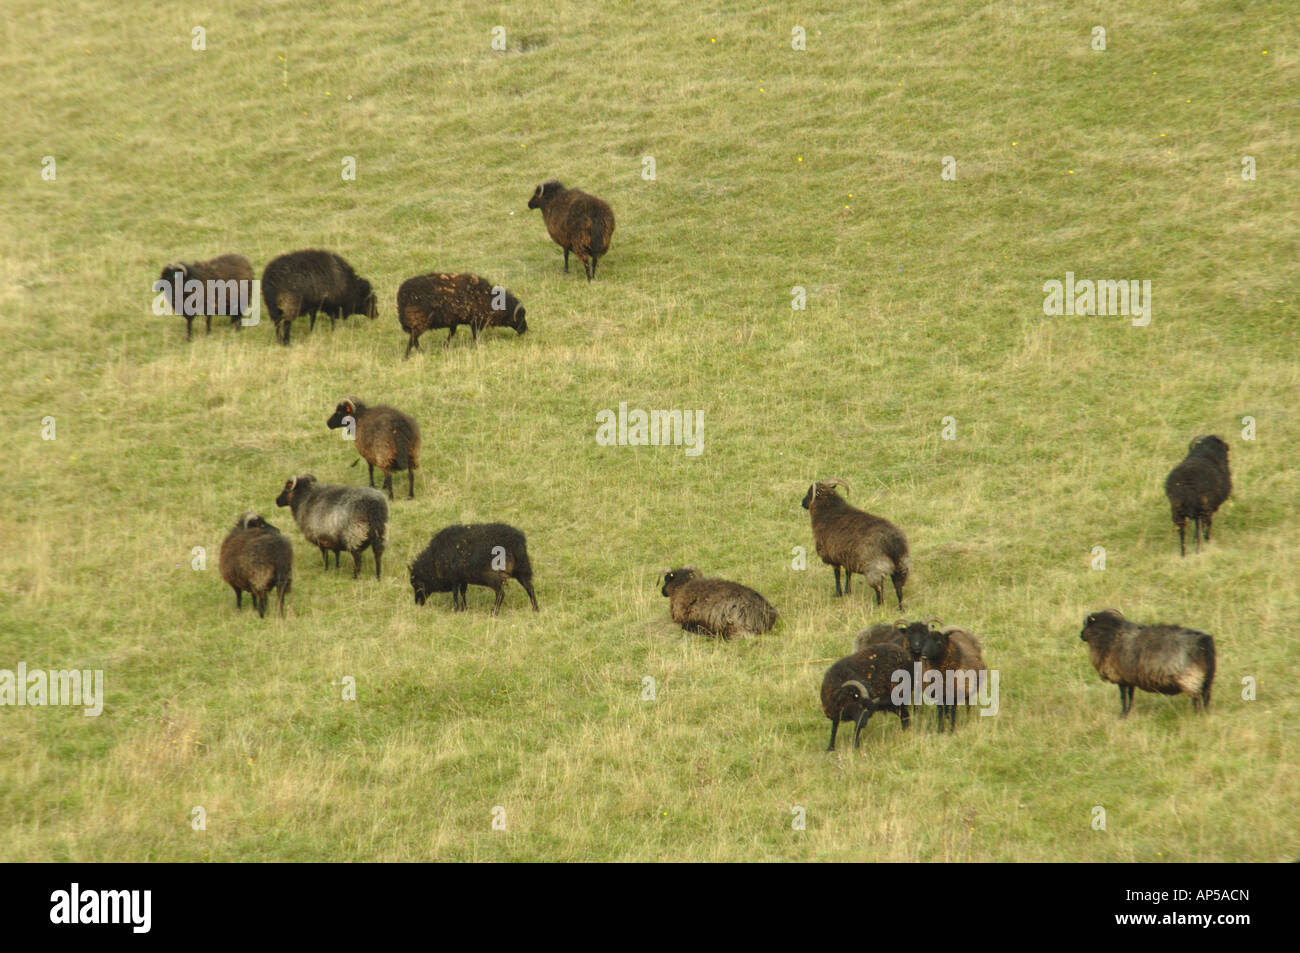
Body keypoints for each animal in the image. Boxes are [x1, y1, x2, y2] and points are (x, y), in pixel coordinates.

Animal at [396, 273, 527, 357]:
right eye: (520, 316)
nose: (524, 330)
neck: (489, 299)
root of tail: (401, 298)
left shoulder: (454, 320)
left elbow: (452, 333)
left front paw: (445, 346)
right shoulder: (475, 321)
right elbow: (475, 336)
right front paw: (478, 347)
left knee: (414, 339)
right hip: (418, 321)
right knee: (413, 340)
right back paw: (410, 355)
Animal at [409, 523, 539, 615]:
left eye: (417, 584)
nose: (417, 603)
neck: (433, 561)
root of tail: (516, 541)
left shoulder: (454, 577)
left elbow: (455, 593)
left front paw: (455, 609)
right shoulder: (462, 578)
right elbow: (462, 592)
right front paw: (464, 608)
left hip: (492, 575)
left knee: (500, 593)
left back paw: (493, 613)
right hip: (522, 568)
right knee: (530, 589)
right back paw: (536, 609)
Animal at [801, 479, 910, 609]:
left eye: (809, 493)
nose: (802, 503)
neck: (828, 511)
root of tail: (893, 543)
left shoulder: (833, 556)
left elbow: (837, 575)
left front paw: (838, 594)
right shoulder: (847, 557)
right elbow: (848, 574)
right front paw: (847, 592)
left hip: (875, 567)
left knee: (879, 588)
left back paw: (879, 605)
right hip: (901, 565)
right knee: (899, 589)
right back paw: (901, 609)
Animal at [1079, 609, 1215, 716]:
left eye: (1086, 624)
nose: (1080, 635)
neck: (1109, 635)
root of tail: (1204, 642)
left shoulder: (1120, 677)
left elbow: (1123, 697)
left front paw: (1122, 715)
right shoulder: (1130, 679)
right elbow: (1131, 696)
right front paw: (1129, 712)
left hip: (1191, 677)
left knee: (1197, 699)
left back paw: (1197, 715)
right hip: (1206, 677)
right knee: (1206, 696)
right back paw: (1205, 714)